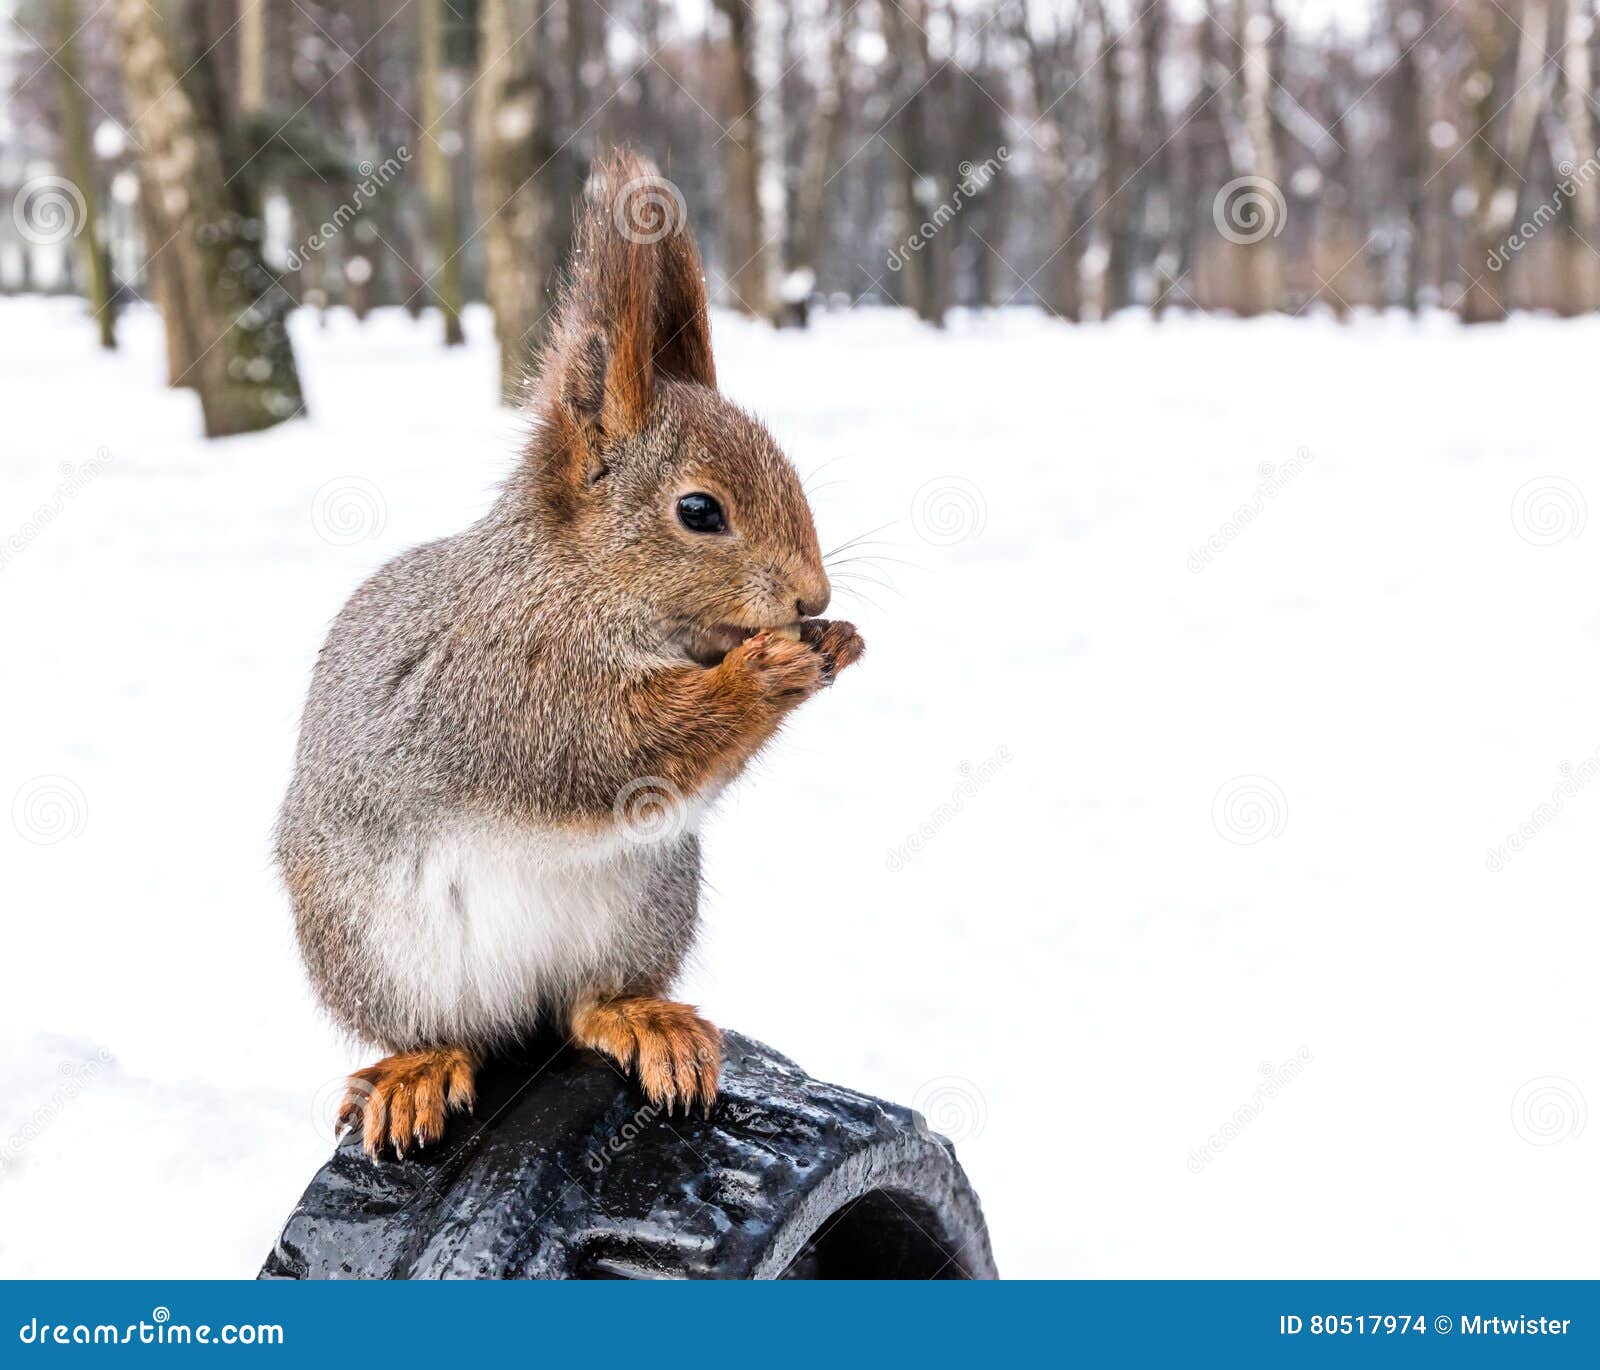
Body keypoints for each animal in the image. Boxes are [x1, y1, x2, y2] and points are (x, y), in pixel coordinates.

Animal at [275, 148, 864, 1158]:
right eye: (699, 510)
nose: (811, 599)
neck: (579, 585)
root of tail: (522, 1007)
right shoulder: (508, 691)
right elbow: (613, 750)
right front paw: (766, 672)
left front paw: (838, 643)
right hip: (373, 942)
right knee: (440, 1030)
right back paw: (420, 1067)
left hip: (642, 907)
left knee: (588, 1004)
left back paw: (640, 1019)